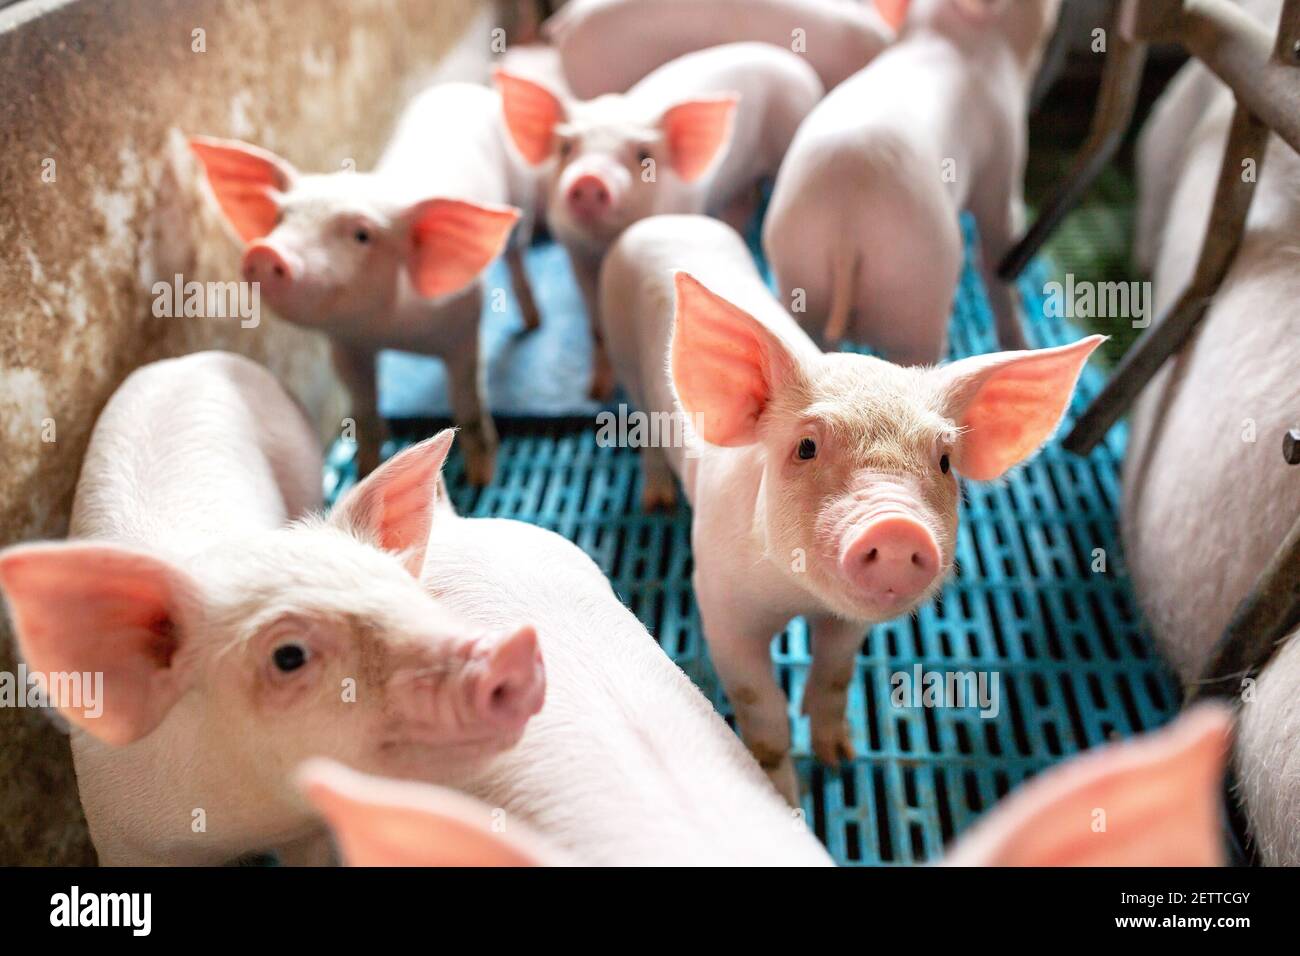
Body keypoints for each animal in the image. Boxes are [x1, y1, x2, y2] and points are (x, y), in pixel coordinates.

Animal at [0, 353, 544, 865]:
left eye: (407, 592)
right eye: (288, 656)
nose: (514, 648)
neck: (232, 827)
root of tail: (191, 359)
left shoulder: (306, 831)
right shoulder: (119, 836)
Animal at [190, 81, 535, 485]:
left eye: (361, 235)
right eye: (280, 217)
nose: (264, 250)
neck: (390, 331)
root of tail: (464, 87)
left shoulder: (465, 329)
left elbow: (468, 405)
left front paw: (482, 480)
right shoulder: (347, 345)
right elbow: (365, 415)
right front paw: (364, 473)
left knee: (517, 256)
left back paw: (532, 324)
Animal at [496, 41, 825, 397]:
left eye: (644, 155)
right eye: (566, 147)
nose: (590, 178)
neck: (604, 244)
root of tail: (787, 59)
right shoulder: (575, 252)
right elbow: (596, 327)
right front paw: (595, 392)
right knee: (742, 204)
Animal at [600, 214, 1102, 803]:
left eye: (945, 461)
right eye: (806, 447)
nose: (898, 527)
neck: (798, 598)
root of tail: (666, 219)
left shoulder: (849, 624)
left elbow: (835, 675)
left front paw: (840, 757)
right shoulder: (721, 606)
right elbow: (763, 716)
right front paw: (786, 799)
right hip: (625, 361)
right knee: (644, 433)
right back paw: (656, 501)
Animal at [763, 0, 1062, 365]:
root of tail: (845, 229)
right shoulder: (1003, 153)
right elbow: (999, 242)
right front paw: (1022, 341)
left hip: (801, 272)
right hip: (915, 293)